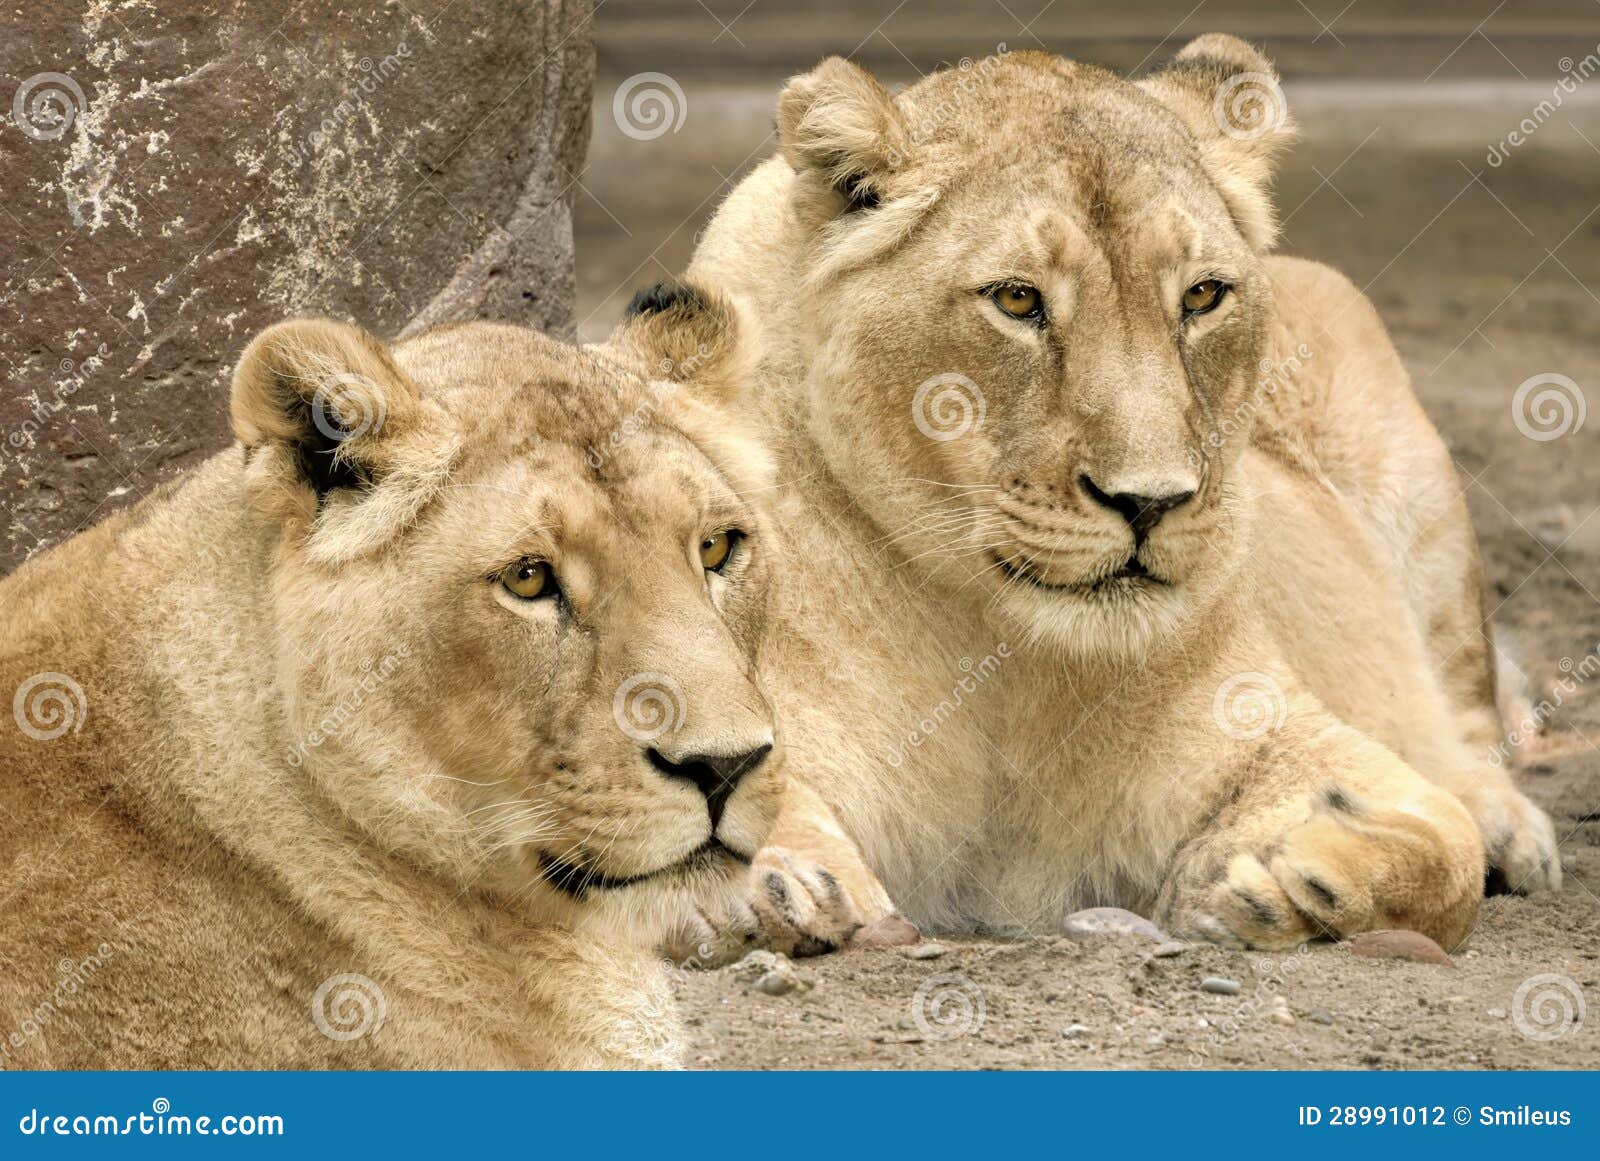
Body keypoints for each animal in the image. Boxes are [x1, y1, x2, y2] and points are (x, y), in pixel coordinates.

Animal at [647, 35, 1559, 958]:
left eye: (1202, 295)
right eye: (1017, 298)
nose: (1149, 502)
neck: (1011, 667)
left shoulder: (1276, 719)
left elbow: (1445, 852)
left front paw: (1284, 877)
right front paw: (776, 884)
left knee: (1469, 718)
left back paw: (1510, 827)